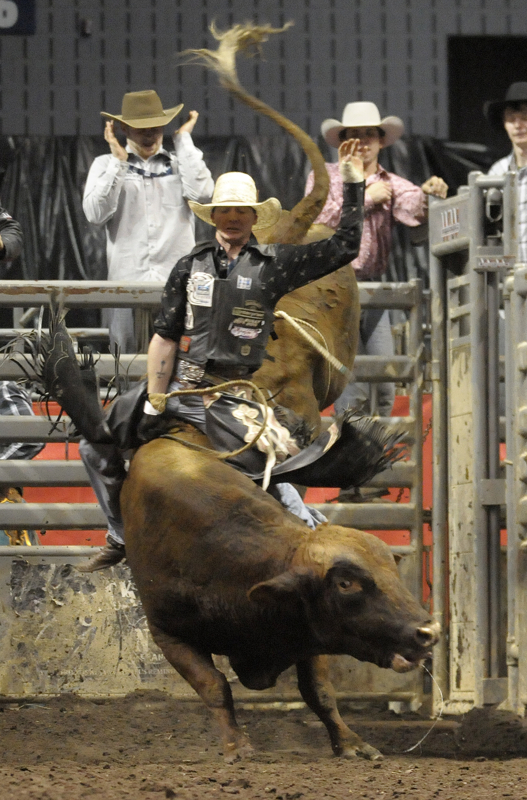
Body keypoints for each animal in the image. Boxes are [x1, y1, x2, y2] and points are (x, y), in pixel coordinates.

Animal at [121, 437, 440, 762]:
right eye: (345, 583)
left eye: (393, 571)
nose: (429, 631)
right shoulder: (168, 634)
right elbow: (214, 686)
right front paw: (237, 746)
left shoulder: (309, 632)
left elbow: (319, 692)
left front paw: (351, 743)